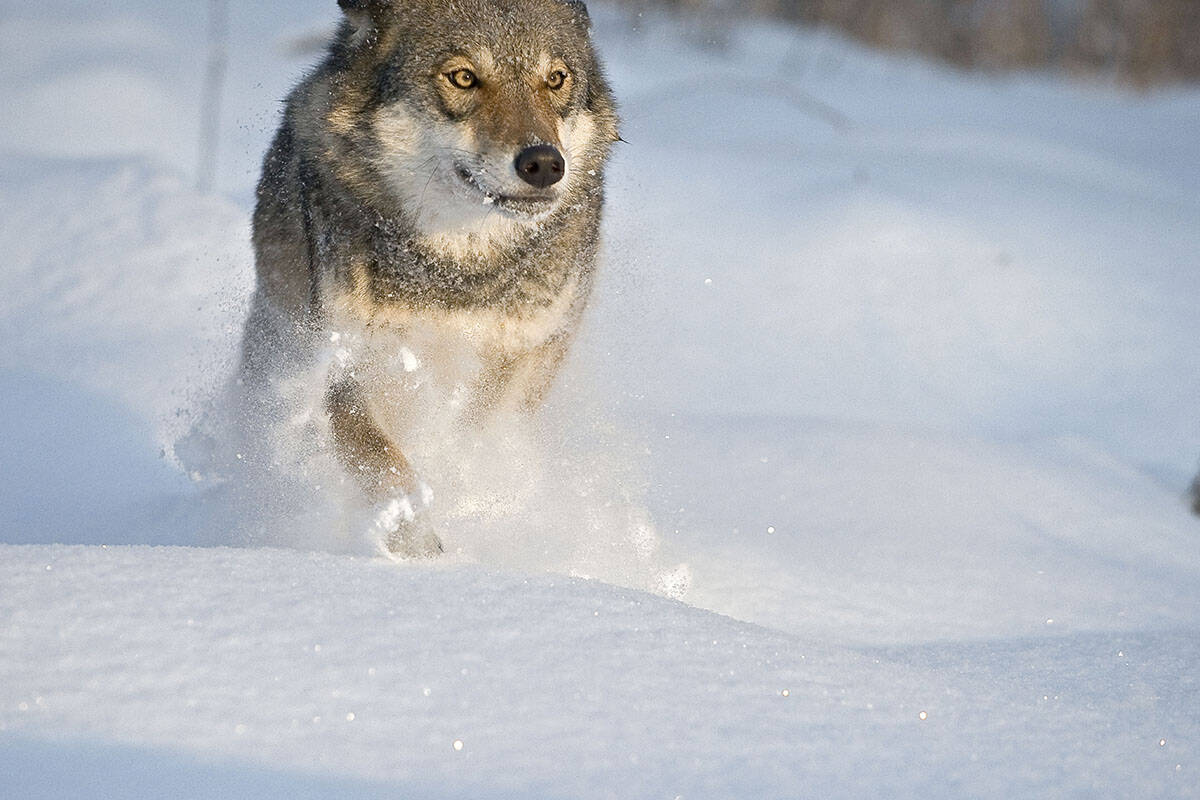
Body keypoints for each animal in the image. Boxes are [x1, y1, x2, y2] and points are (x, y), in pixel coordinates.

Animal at [239, 0, 619, 556]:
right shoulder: (347, 361)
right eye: (463, 78)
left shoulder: (523, 355)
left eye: (555, 79)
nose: (544, 163)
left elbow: (474, 441)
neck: (460, 270)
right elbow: (385, 464)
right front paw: (419, 548)